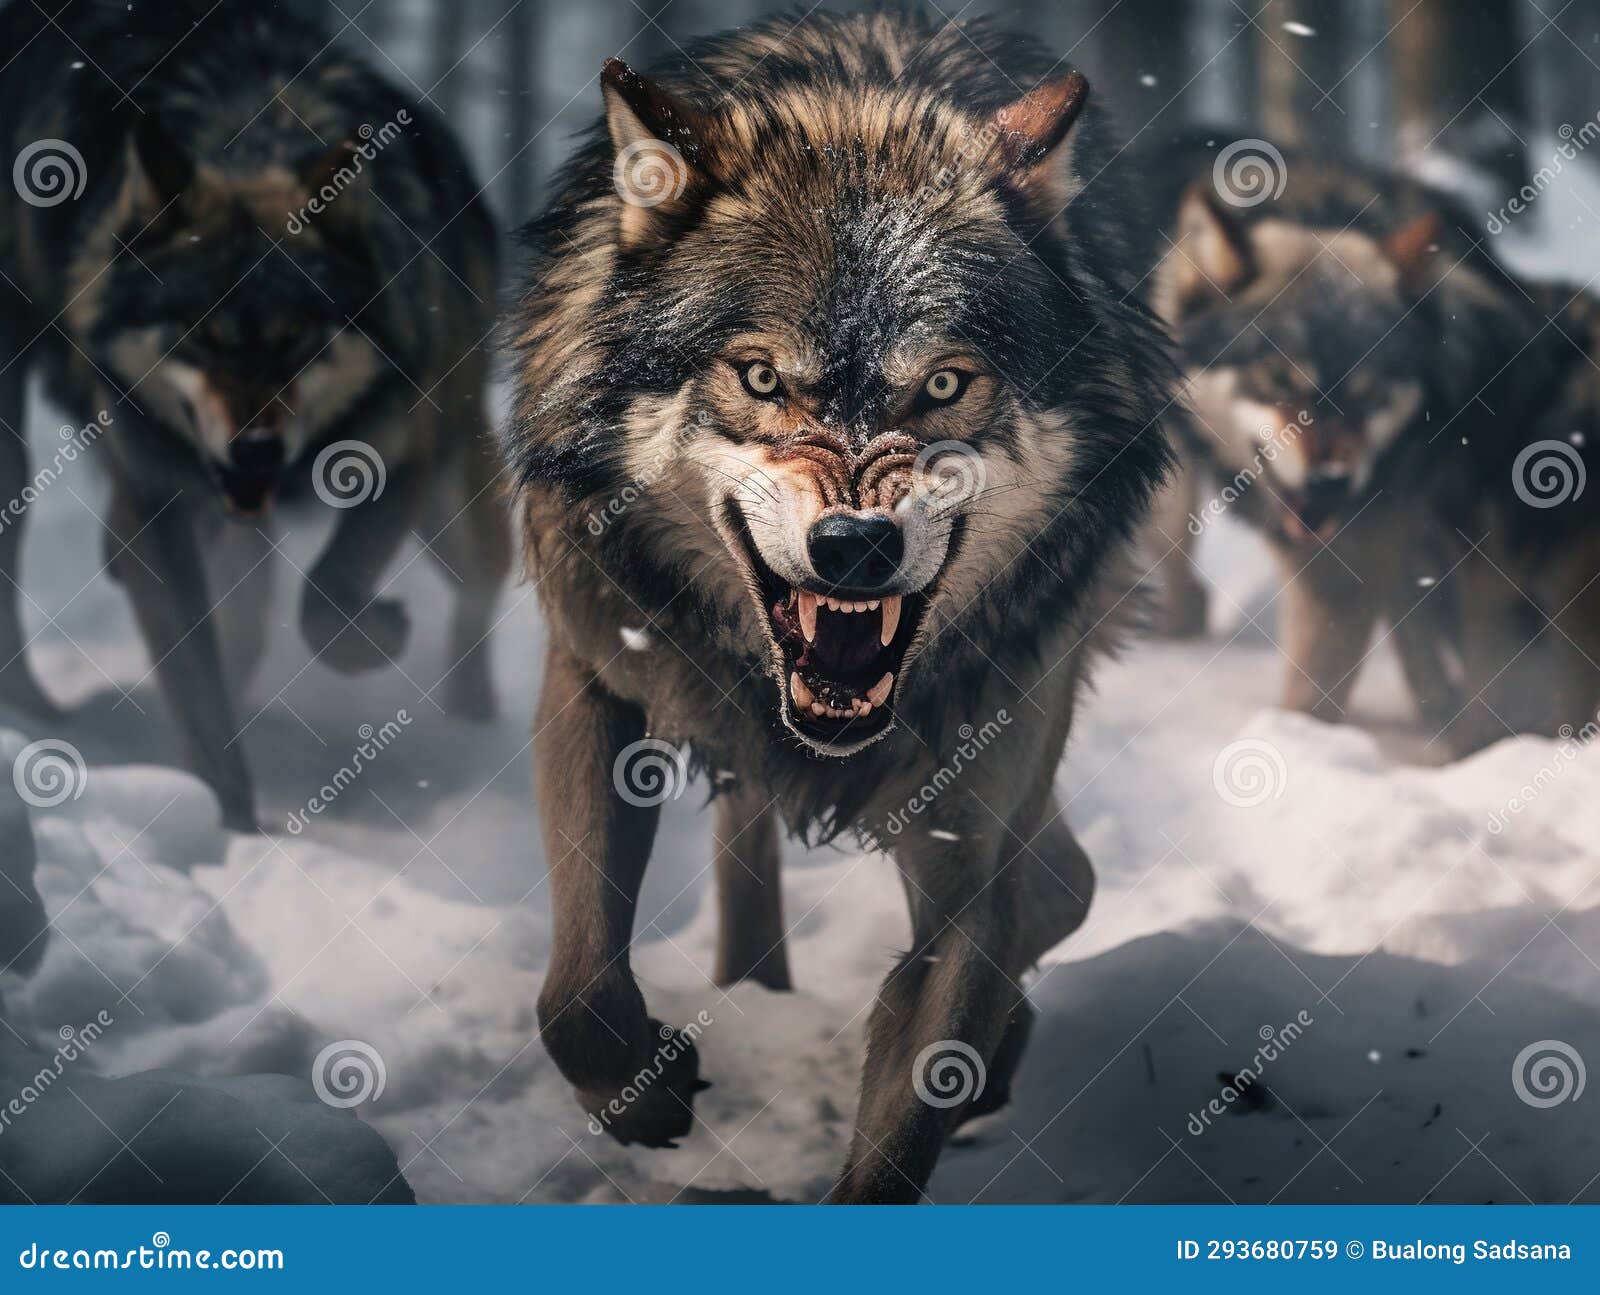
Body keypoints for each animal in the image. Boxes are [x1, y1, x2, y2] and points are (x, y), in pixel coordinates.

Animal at [0, 0, 509, 829]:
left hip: (450, 492)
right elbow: (203, 699)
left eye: (296, 339)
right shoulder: (157, 510)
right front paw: (233, 825)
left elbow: (327, 601)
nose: (256, 452)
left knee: (482, 586)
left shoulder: (404, 455)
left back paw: (477, 725)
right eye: (200, 338)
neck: (247, 130)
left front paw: (382, 633)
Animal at [506, 11, 1175, 1202]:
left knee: (1060, 883)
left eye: (945, 384)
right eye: (762, 378)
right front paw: (646, 1095)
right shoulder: (593, 681)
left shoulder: (966, 865)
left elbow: (905, 1120)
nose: (855, 548)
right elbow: (576, 990)